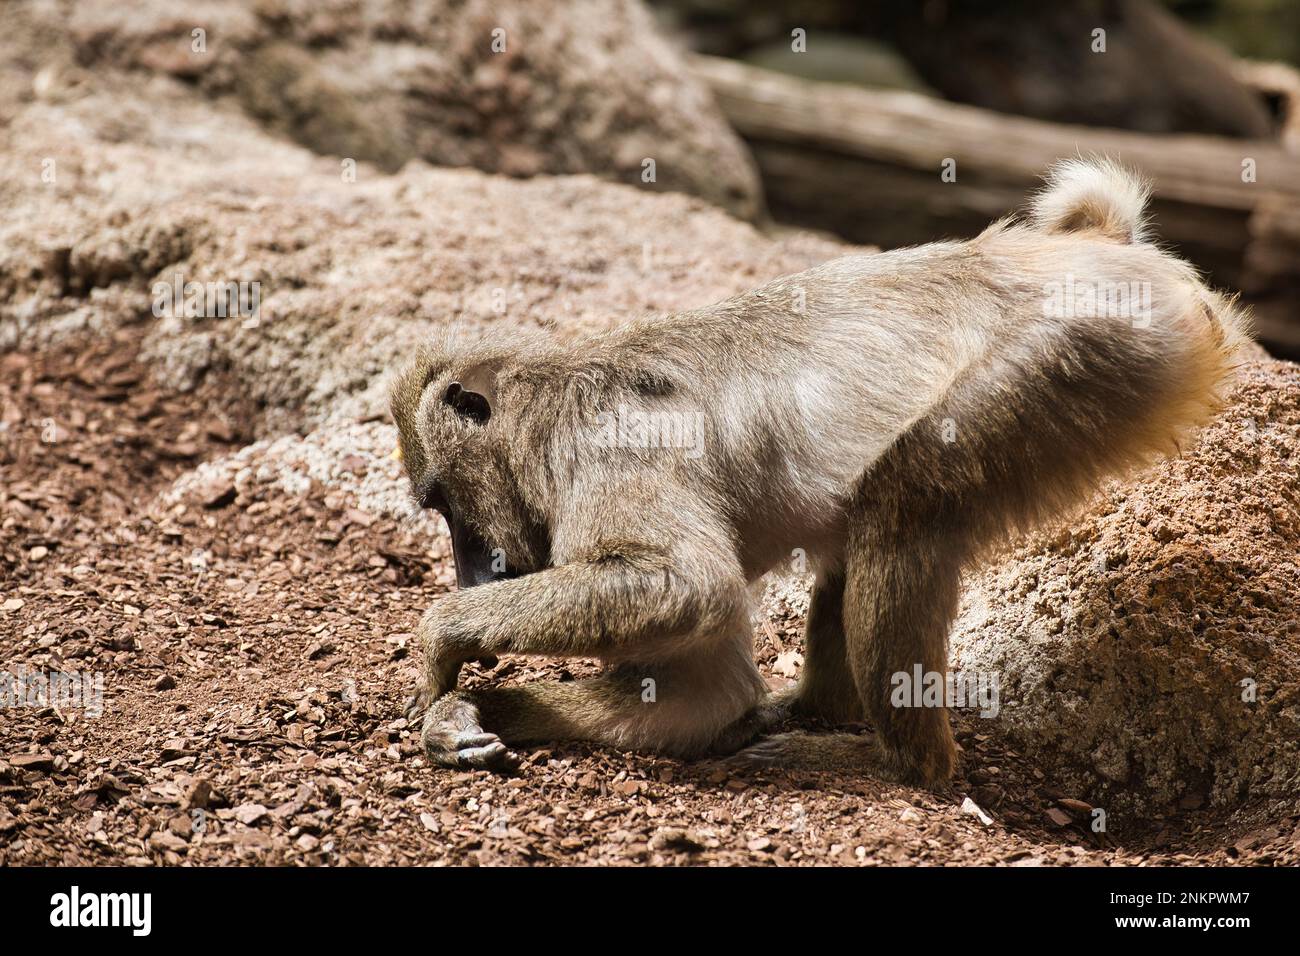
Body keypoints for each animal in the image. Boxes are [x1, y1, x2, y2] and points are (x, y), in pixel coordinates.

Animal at [389, 159, 1249, 785]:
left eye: (446, 506)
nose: (469, 570)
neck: (549, 404)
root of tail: (1103, 251)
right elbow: (693, 696)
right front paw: (469, 712)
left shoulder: (604, 453)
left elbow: (686, 587)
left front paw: (448, 633)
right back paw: (818, 713)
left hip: (1099, 345)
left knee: (907, 500)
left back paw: (908, 767)